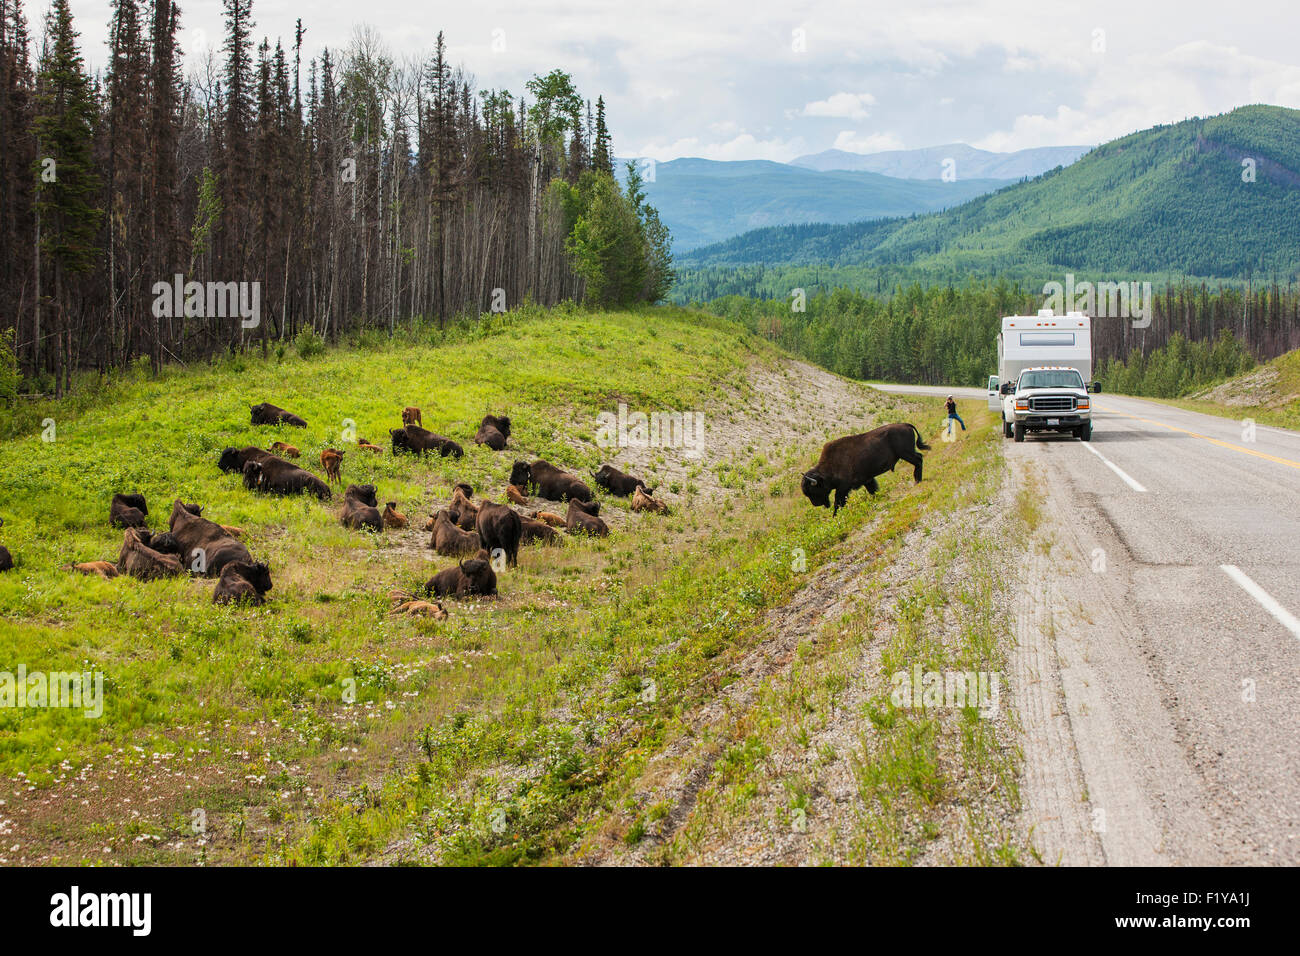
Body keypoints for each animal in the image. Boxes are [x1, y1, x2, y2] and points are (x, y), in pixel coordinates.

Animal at [801, 422, 930, 515]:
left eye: (813, 490)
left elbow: (838, 502)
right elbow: (873, 490)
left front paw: (835, 516)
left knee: (918, 460)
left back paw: (917, 480)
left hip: (905, 453)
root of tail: (905, 424)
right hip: (907, 453)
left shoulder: (843, 488)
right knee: (919, 458)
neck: (828, 468)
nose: (815, 504)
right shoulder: (867, 480)